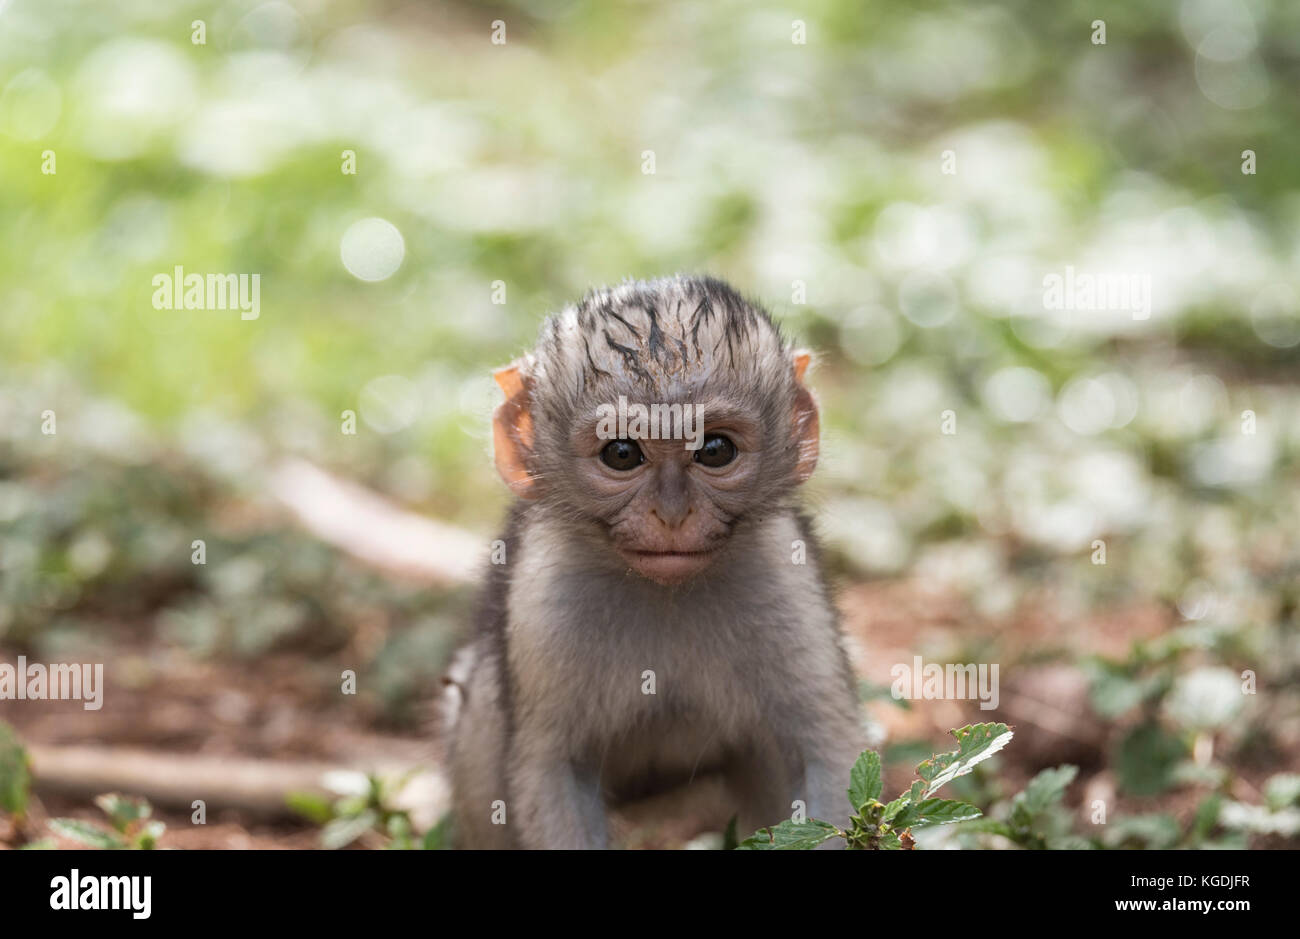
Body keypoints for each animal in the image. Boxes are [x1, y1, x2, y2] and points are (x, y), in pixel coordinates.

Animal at [443, 275, 863, 849]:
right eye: (622, 453)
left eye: (714, 449)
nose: (672, 513)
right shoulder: (543, 599)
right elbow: (554, 770)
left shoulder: (783, 575)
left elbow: (825, 749)